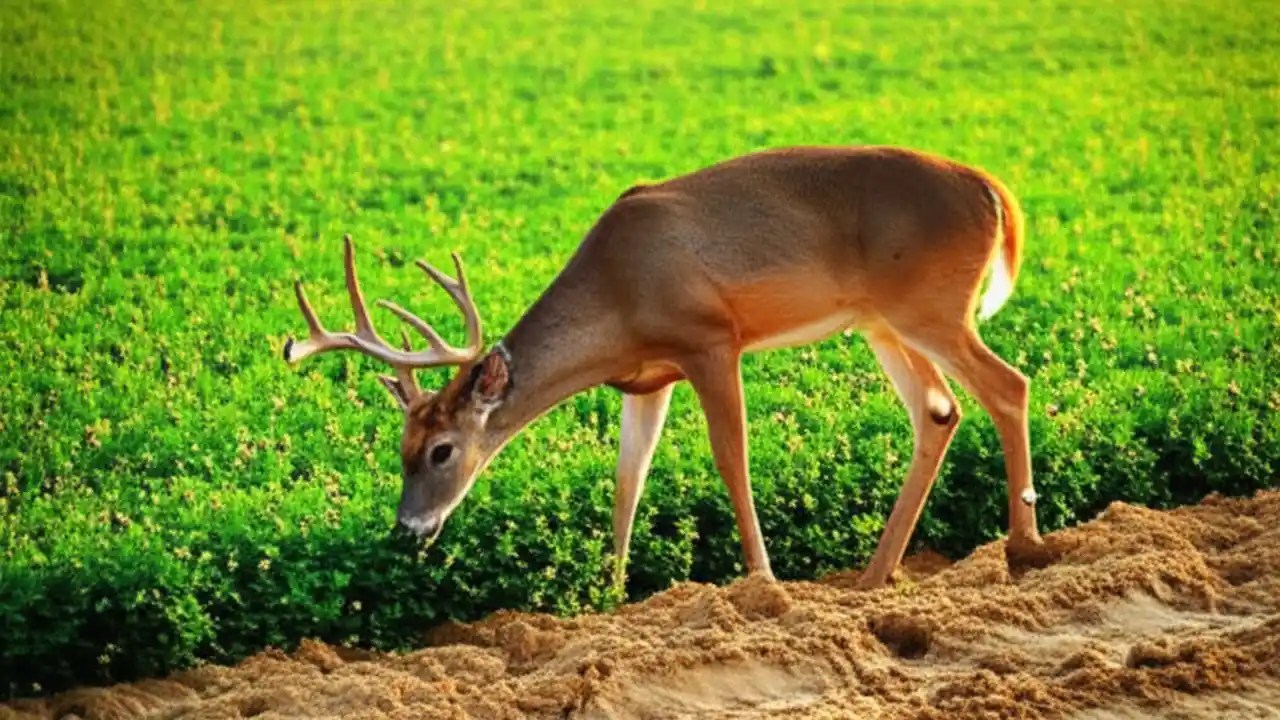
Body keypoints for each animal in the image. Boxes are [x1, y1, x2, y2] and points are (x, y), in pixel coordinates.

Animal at [282, 145, 1044, 589]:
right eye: (400, 448)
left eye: (441, 450)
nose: (407, 529)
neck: (618, 294)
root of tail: (995, 191)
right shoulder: (644, 379)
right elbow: (628, 478)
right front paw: (612, 596)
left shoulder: (710, 340)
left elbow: (731, 457)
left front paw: (763, 585)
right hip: (881, 320)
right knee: (939, 411)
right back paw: (873, 578)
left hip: (933, 308)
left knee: (1009, 386)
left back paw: (1024, 547)